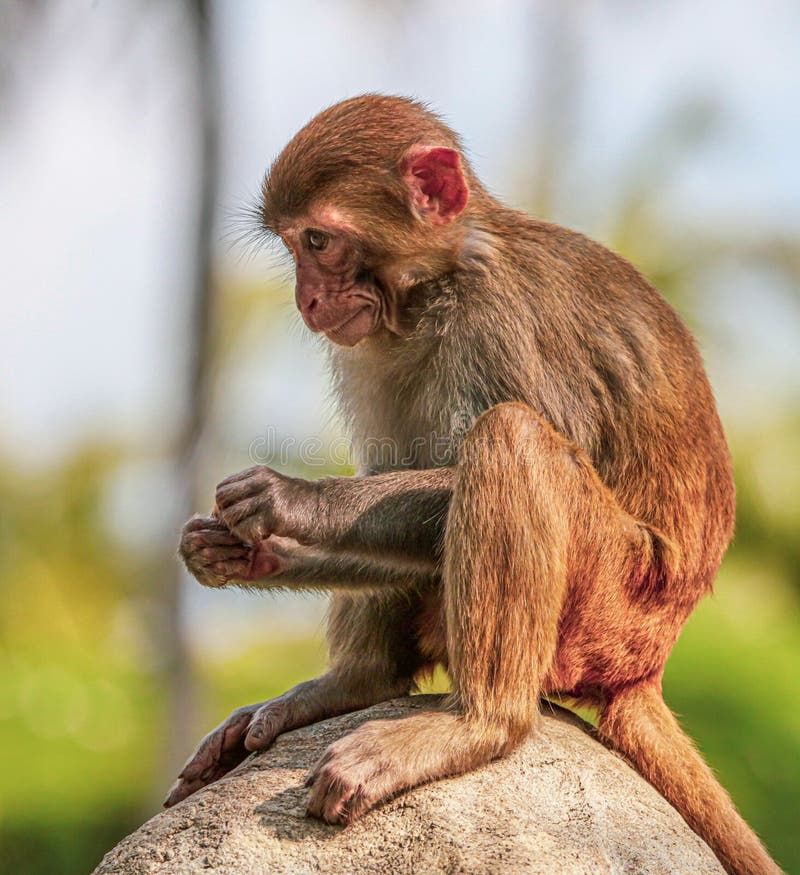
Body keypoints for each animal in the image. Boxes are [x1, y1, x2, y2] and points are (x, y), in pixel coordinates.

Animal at [164, 95, 780, 875]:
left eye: (318, 241)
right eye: (292, 245)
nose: (306, 299)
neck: (435, 285)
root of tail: (652, 659)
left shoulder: (503, 315)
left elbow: (496, 447)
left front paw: (288, 500)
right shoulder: (370, 347)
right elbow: (392, 486)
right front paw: (242, 553)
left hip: (611, 612)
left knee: (509, 438)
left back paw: (481, 723)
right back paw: (355, 683)